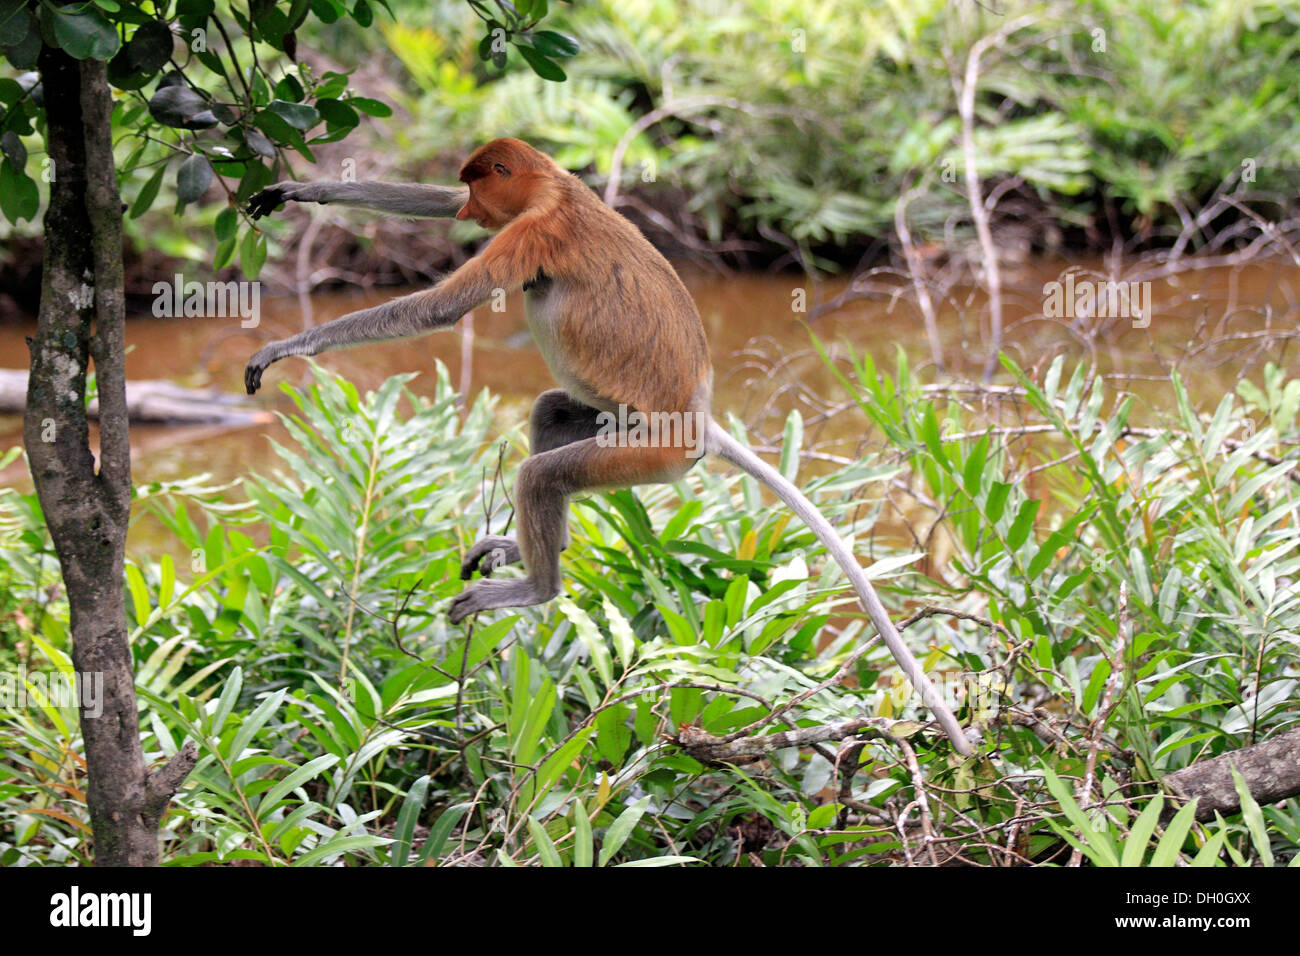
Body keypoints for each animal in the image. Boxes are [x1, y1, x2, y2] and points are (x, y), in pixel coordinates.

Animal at [244, 139, 972, 754]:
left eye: (480, 185)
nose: (474, 207)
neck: (556, 189)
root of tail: (698, 420)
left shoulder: (530, 234)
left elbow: (437, 310)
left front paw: (288, 345)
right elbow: (428, 209)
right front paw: (300, 189)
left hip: (651, 455)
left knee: (542, 477)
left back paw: (536, 586)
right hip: (613, 427)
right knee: (550, 411)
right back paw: (531, 548)